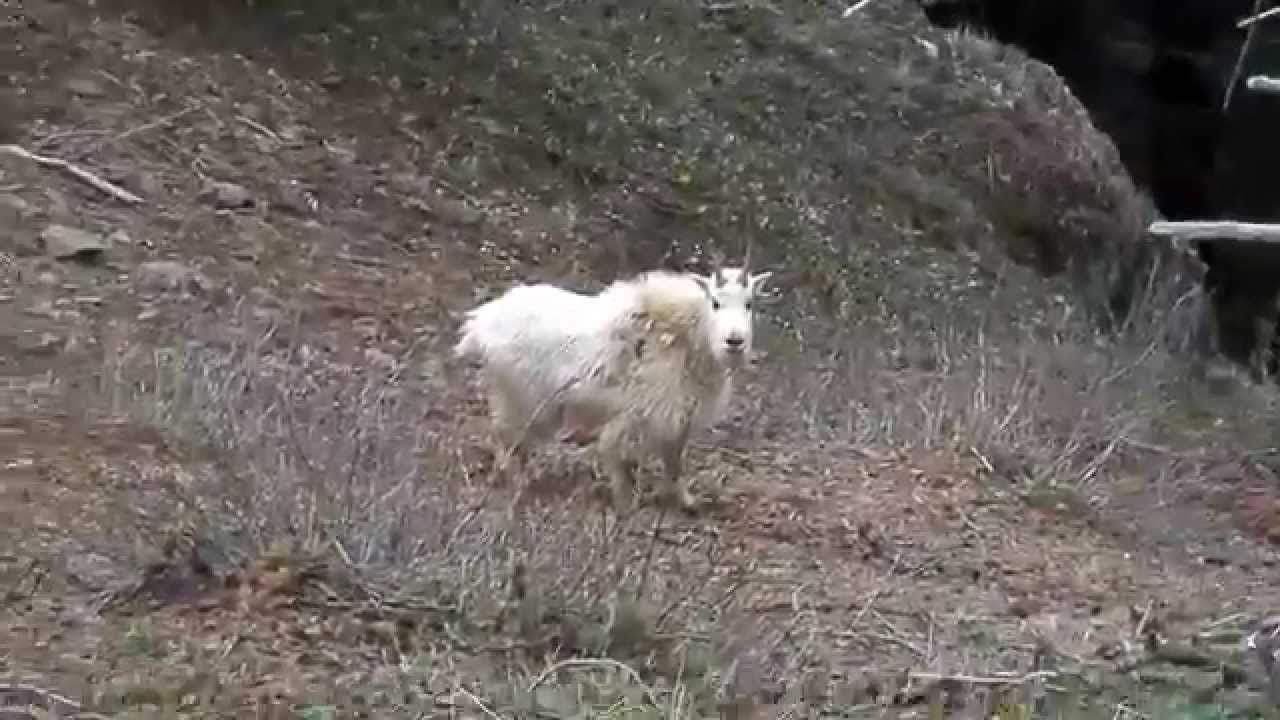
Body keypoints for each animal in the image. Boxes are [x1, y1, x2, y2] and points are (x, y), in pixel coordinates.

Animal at [454, 258, 772, 511]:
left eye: (749, 304)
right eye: (716, 302)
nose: (734, 341)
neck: (684, 336)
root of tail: (478, 325)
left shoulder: (678, 415)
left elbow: (674, 460)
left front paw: (685, 500)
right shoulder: (640, 411)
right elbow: (614, 451)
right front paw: (625, 500)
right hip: (522, 398)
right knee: (507, 437)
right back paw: (516, 482)